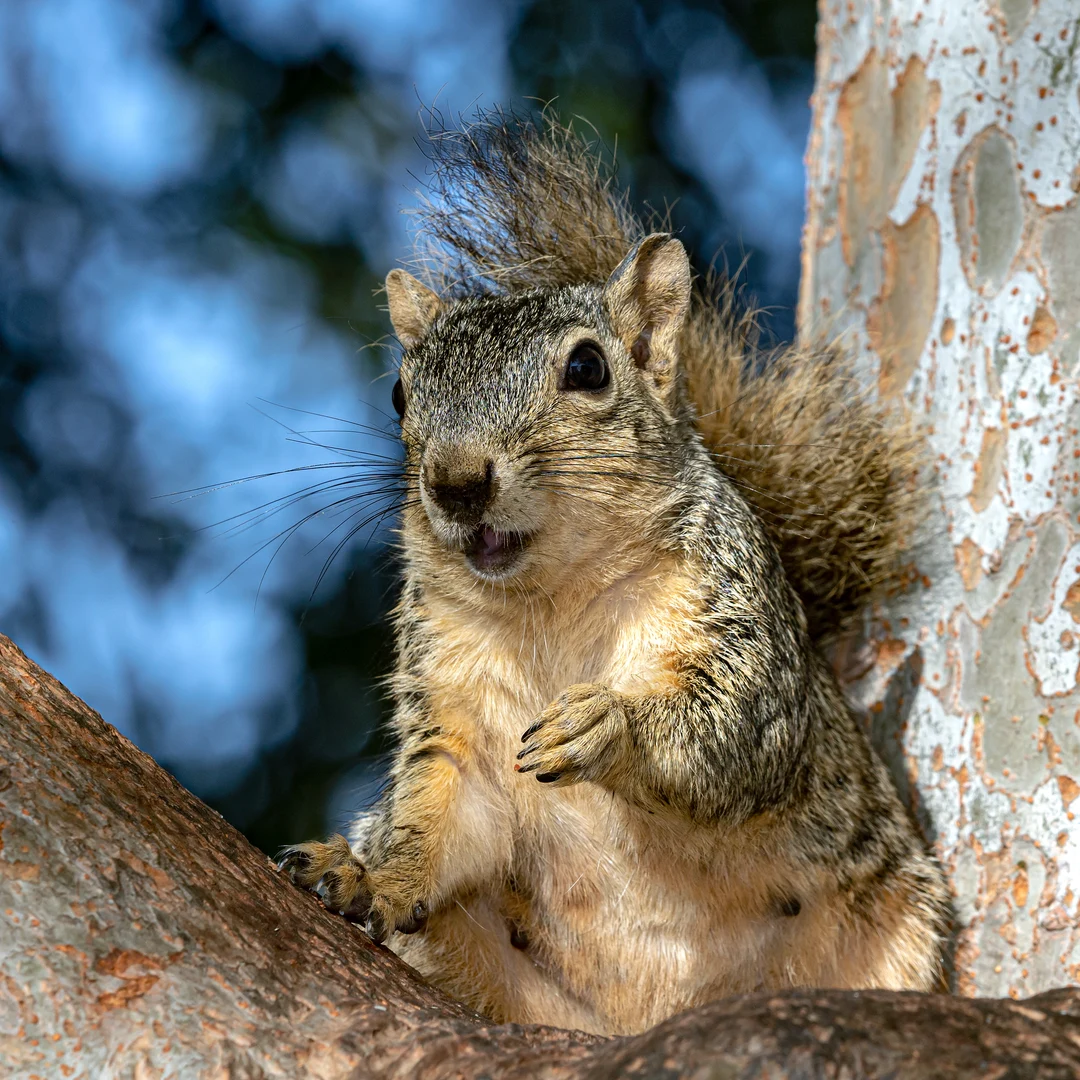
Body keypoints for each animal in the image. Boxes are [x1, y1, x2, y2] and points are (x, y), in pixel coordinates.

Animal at [279, 113, 950, 1036]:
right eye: (399, 395)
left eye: (588, 368)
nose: (456, 483)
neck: (551, 602)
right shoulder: (453, 696)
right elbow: (444, 811)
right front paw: (369, 875)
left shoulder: (744, 640)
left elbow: (734, 736)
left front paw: (608, 726)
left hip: (900, 929)